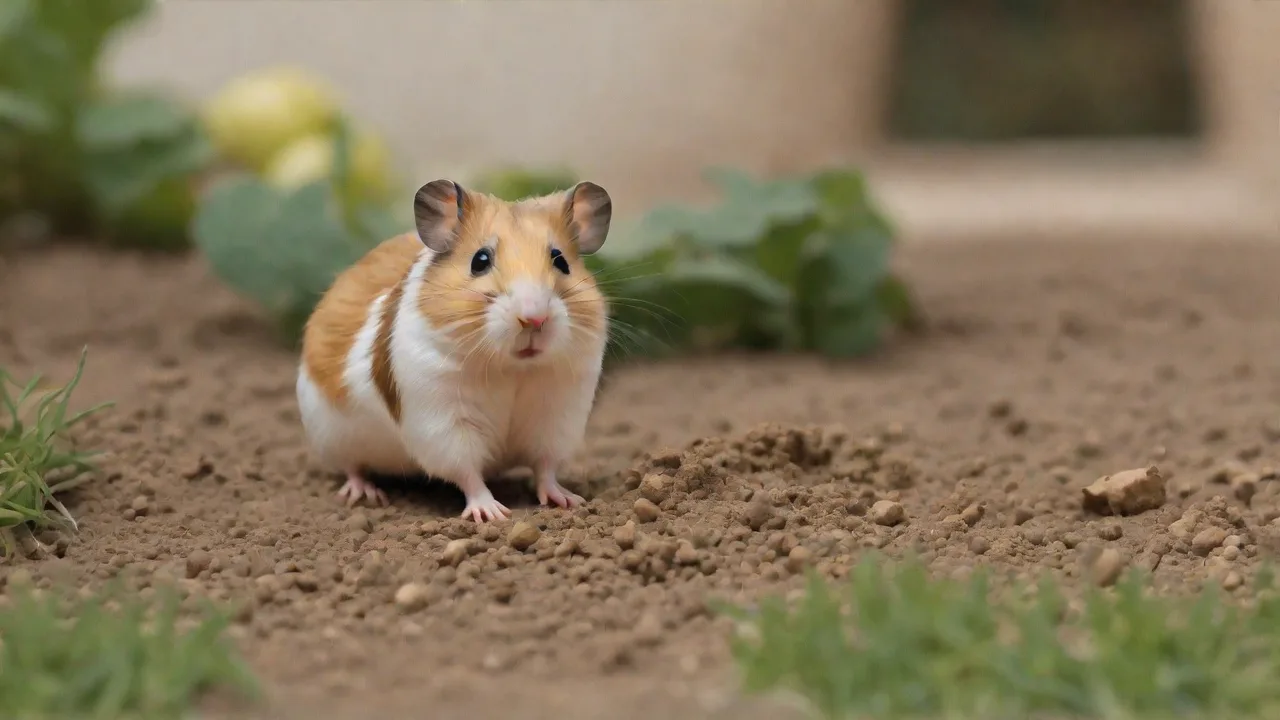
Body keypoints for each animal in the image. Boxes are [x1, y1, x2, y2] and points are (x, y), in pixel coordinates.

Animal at [295, 179, 612, 522]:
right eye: (480, 261)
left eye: (561, 261)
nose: (534, 319)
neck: (511, 368)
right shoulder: (444, 422)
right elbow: (468, 473)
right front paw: (492, 514)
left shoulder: (556, 414)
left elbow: (546, 468)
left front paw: (569, 500)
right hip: (331, 435)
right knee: (352, 467)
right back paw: (364, 494)